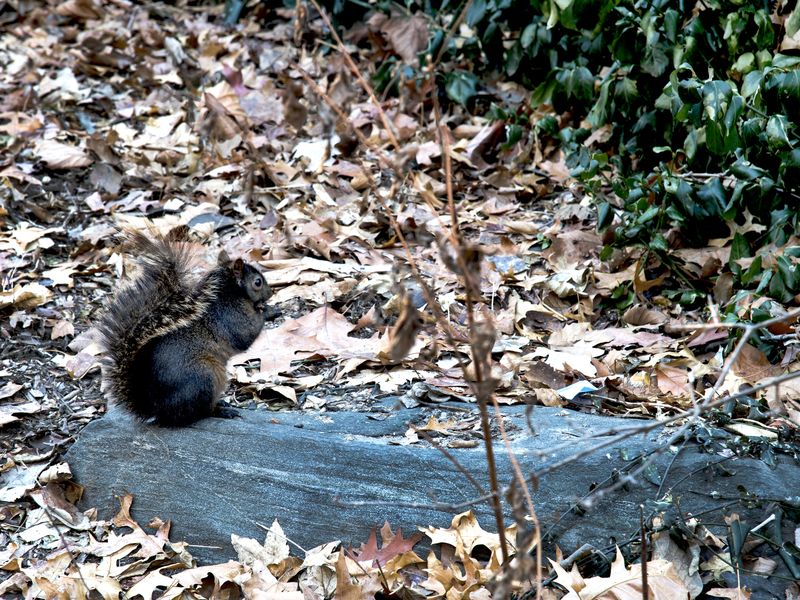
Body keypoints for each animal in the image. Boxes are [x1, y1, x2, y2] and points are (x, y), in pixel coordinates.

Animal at [97, 226, 272, 426]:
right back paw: (222, 411)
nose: (270, 293)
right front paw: (269, 310)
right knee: (200, 412)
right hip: (204, 377)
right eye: (257, 282)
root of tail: (157, 410)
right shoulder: (234, 318)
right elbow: (248, 333)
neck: (230, 294)